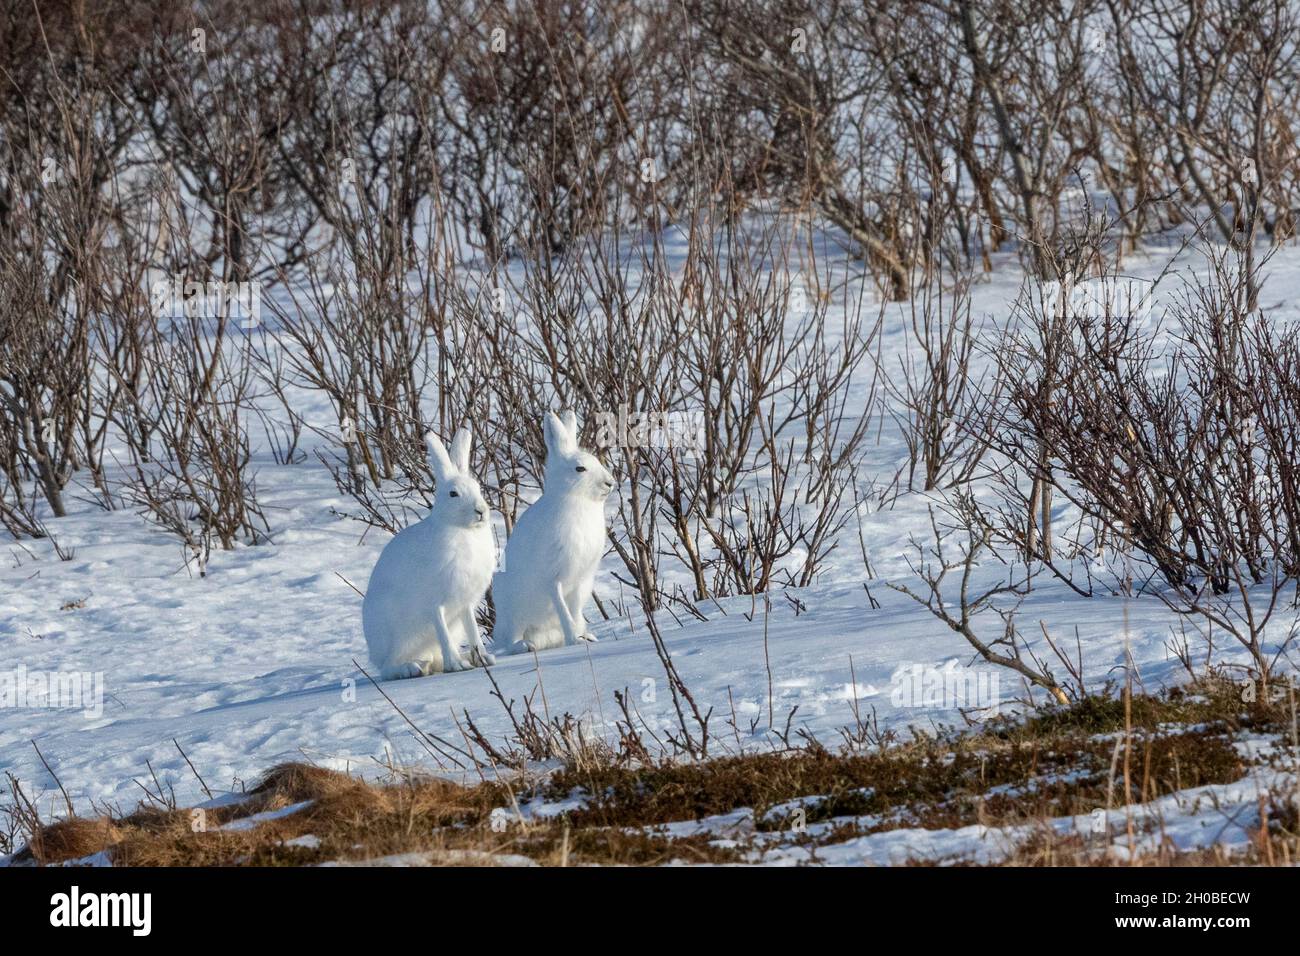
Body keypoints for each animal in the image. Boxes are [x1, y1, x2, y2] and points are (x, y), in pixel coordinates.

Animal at [362, 425, 496, 679]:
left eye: (477, 488)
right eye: (453, 494)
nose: (481, 511)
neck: (462, 529)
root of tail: (375, 654)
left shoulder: (464, 603)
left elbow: (473, 630)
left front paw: (484, 659)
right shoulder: (436, 604)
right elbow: (442, 631)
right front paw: (456, 666)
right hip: (398, 635)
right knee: (388, 669)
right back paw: (410, 669)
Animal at [491, 410, 616, 655]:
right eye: (580, 469)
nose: (610, 483)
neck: (578, 501)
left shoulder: (580, 581)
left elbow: (574, 613)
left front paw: (581, 637)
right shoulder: (554, 579)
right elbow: (564, 612)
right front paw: (575, 641)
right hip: (513, 613)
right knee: (511, 641)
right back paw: (524, 646)